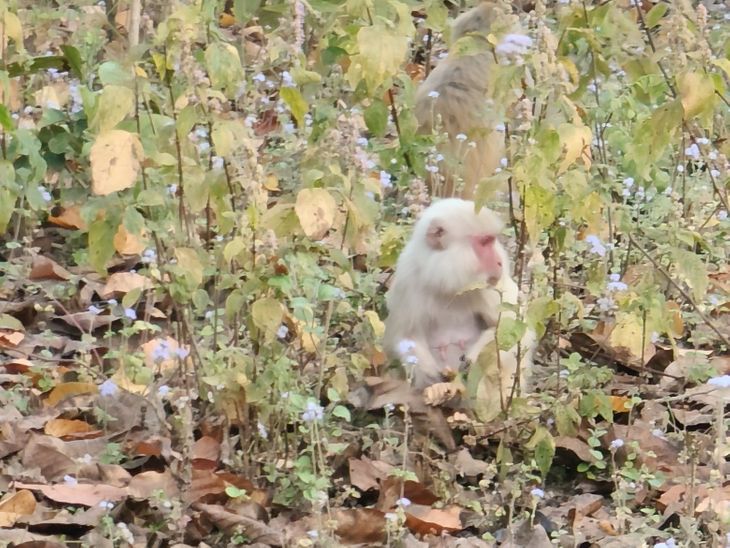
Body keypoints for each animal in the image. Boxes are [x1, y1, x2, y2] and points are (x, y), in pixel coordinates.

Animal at [383, 198, 535, 400]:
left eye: (491, 241)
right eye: (484, 242)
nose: (499, 262)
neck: (446, 281)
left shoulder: (491, 287)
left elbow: (514, 330)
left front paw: (473, 359)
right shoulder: (408, 279)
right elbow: (406, 336)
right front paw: (430, 377)